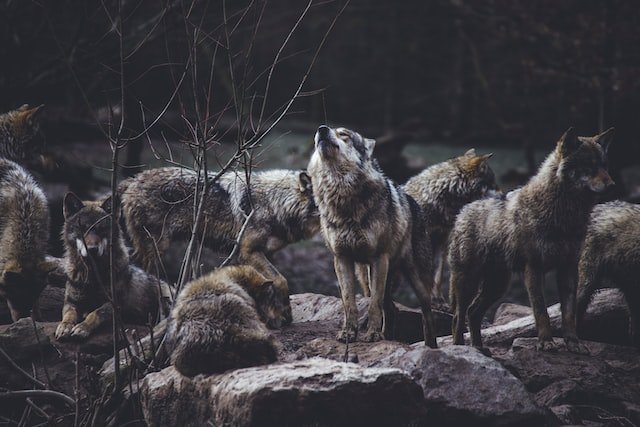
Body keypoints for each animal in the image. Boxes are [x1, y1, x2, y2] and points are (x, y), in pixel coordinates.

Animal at [55, 192, 172, 341]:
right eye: (83, 229)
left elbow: (95, 313)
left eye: (102, 230)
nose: (92, 249)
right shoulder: (71, 302)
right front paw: (64, 327)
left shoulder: (114, 304)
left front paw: (82, 328)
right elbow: (68, 315)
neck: (93, 275)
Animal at [120, 167, 320, 326]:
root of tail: (132, 180)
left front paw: (277, 316)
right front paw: (285, 314)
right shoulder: (248, 251)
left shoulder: (265, 253)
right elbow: (281, 280)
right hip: (155, 249)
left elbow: (270, 285)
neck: (275, 202)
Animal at [307, 125, 436, 346]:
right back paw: (389, 337)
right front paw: (348, 333)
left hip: (415, 281)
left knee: (426, 314)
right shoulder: (341, 259)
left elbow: (374, 304)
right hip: (369, 276)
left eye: (344, 134)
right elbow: (349, 303)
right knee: (391, 308)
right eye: (323, 131)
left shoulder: (378, 258)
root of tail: (413, 202)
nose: (322, 129)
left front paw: (373, 335)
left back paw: (431, 347)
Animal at [403, 149, 498, 303]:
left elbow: (439, 272)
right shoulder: (427, 238)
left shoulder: (443, 238)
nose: (505, 193)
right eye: (493, 184)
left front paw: (437, 296)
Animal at [448, 127, 614, 353]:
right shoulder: (533, 268)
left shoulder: (568, 269)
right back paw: (461, 349)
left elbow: (569, 314)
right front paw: (546, 343)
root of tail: (464, 210)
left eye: (604, 165)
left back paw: (479, 349)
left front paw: (574, 343)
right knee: (458, 315)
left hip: (497, 286)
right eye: (589, 165)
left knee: (473, 312)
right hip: (469, 282)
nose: (612, 184)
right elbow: (541, 311)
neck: (564, 214)